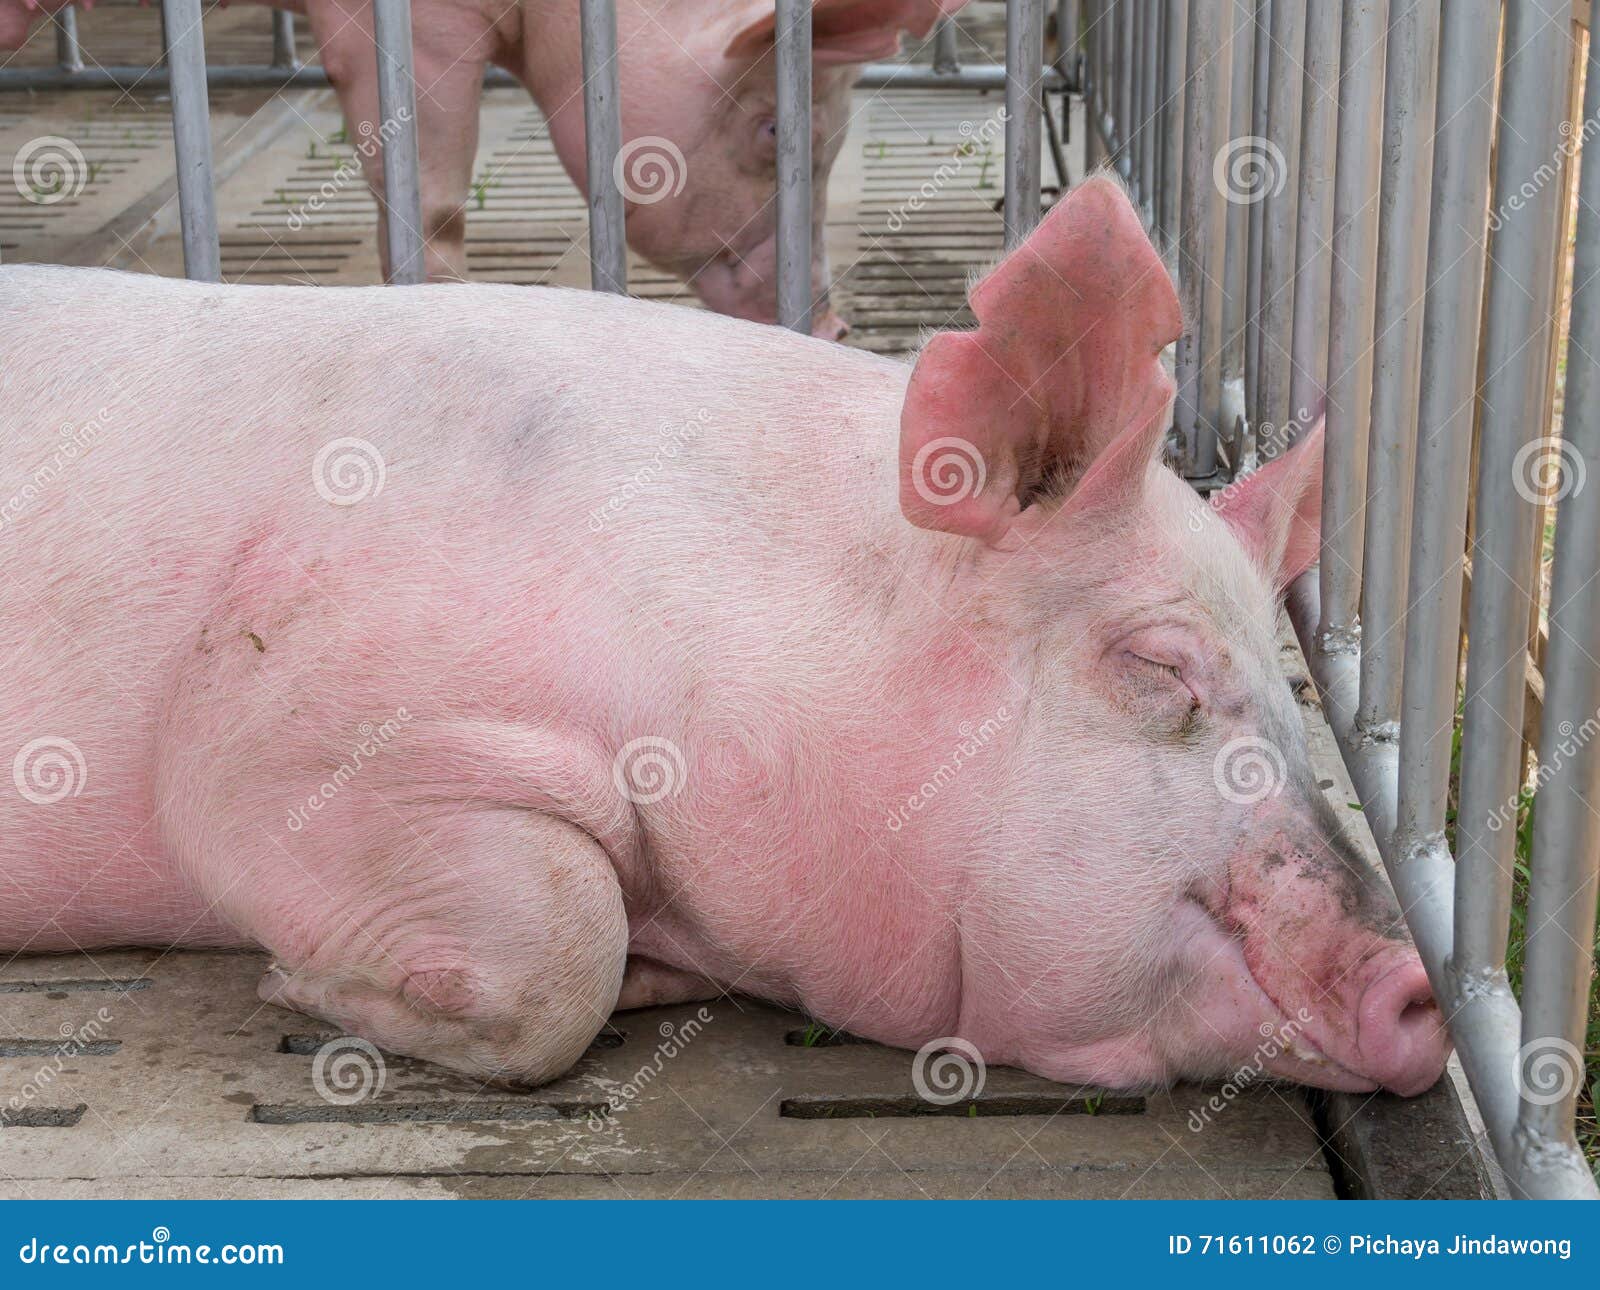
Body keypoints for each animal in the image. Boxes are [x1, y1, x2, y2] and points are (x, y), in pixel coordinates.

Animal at [0, 175, 1450, 1099]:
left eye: (1290, 692)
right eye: (1158, 667)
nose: (1417, 985)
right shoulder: (279, 731)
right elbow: (566, 941)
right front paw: (295, 993)